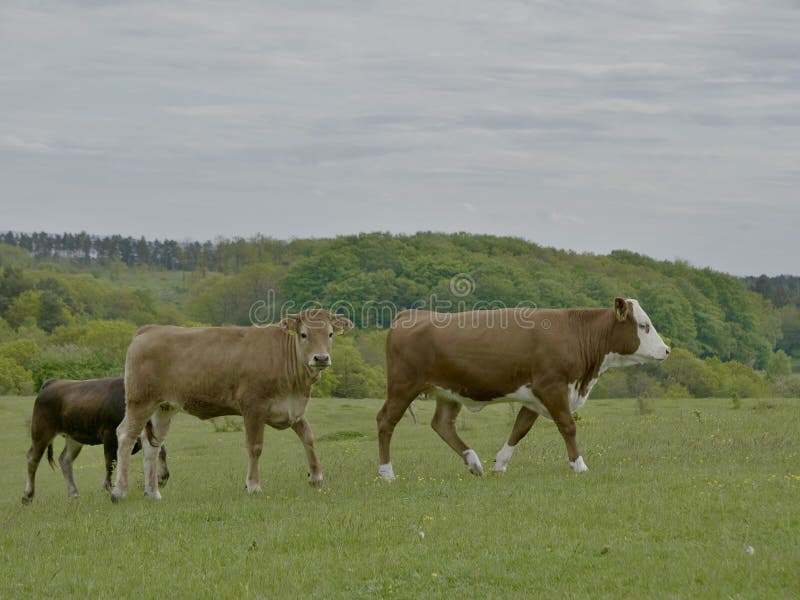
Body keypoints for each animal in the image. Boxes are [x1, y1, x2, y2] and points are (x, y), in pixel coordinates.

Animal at [22, 377, 168, 504]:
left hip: (73, 436)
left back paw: (74, 493)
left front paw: (162, 478)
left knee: (64, 459)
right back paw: (28, 496)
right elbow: (110, 463)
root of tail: (53, 382)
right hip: (42, 430)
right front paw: (107, 488)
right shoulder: (110, 435)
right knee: (32, 458)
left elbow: (161, 451)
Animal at [110, 309, 354, 502]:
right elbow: (255, 447)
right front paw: (253, 485)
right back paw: (119, 491)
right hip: (140, 401)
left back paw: (153, 493)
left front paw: (316, 477)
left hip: (163, 407)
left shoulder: (292, 409)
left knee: (152, 445)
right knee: (126, 436)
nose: (321, 358)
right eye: (304, 334)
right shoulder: (253, 407)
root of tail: (150, 329)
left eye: (330, 334)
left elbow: (309, 437)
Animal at [376, 297, 669, 479]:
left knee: (442, 424)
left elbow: (520, 429)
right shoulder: (552, 387)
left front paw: (499, 464)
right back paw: (387, 473)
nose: (666, 350)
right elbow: (568, 426)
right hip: (403, 386)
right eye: (643, 325)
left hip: (449, 392)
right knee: (385, 421)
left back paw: (473, 462)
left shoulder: (534, 396)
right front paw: (579, 465)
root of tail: (411, 315)